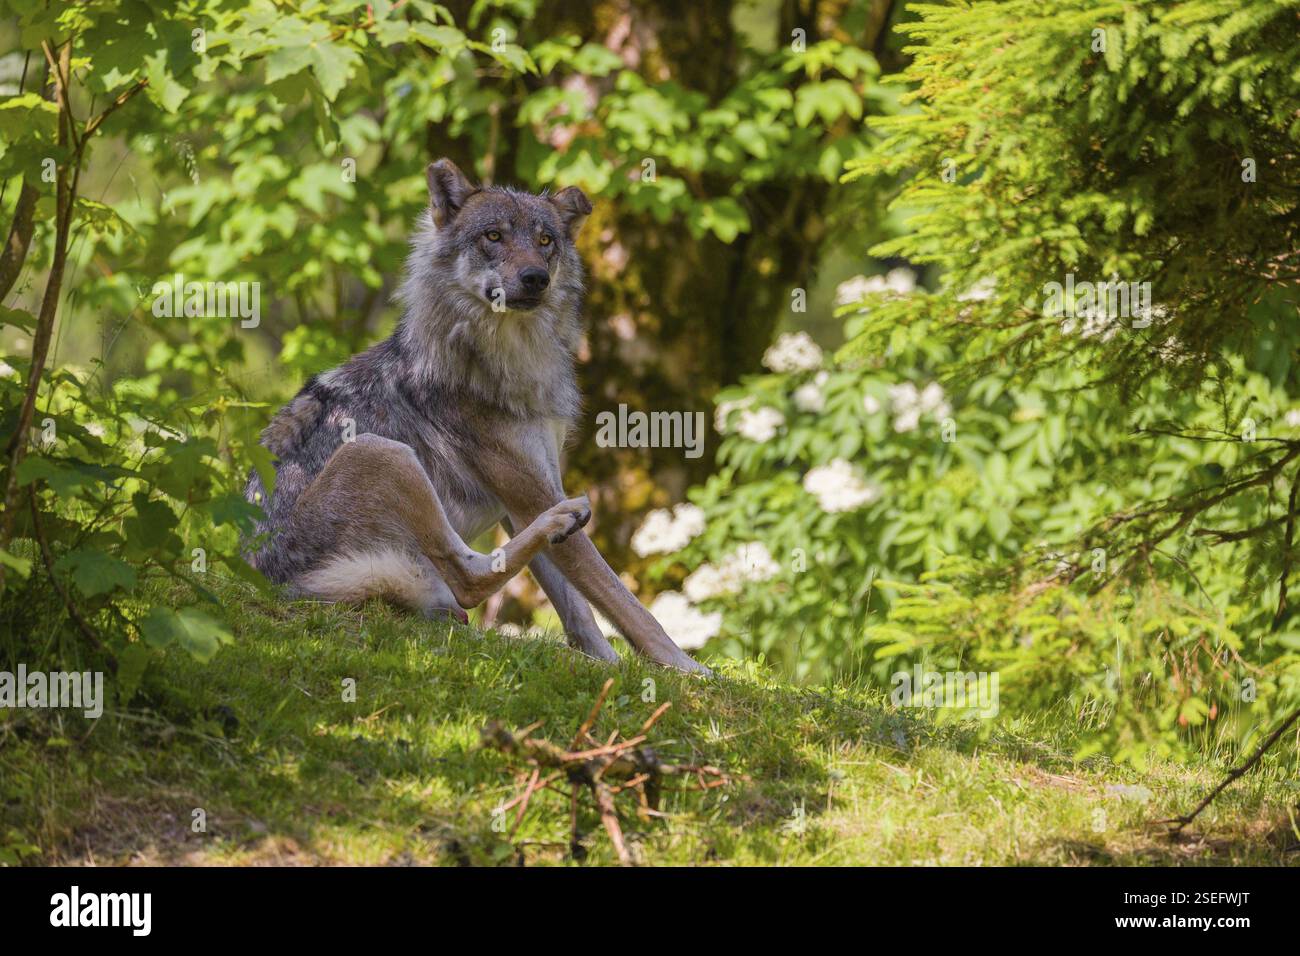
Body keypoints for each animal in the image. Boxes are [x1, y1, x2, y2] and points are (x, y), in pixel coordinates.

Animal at [243, 158, 705, 673]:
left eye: (545, 240)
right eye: (493, 236)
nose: (535, 277)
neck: (515, 359)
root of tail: (273, 580)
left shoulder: (528, 492)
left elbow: (579, 607)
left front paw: (606, 665)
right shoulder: (531, 493)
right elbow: (623, 600)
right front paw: (692, 671)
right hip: (385, 453)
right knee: (468, 581)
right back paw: (561, 520)